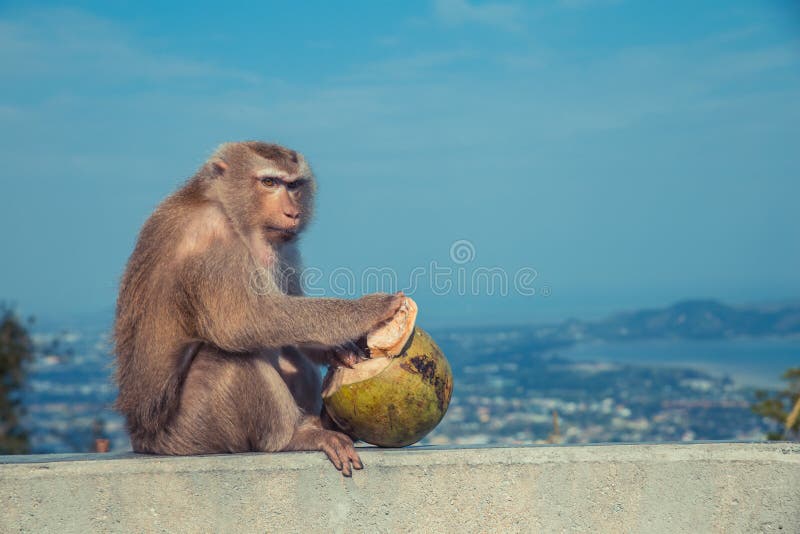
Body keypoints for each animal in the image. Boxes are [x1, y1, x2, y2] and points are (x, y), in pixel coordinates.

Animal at [113, 141, 405, 476]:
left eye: (293, 185)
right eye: (269, 182)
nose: (292, 212)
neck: (232, 213)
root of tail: (142, 440)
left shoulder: (282, 245)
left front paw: (339, 350)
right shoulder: (211, 234)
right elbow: (242, 322)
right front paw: (369, 309)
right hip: (191, 434)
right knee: (230, 356)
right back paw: (295, 436)